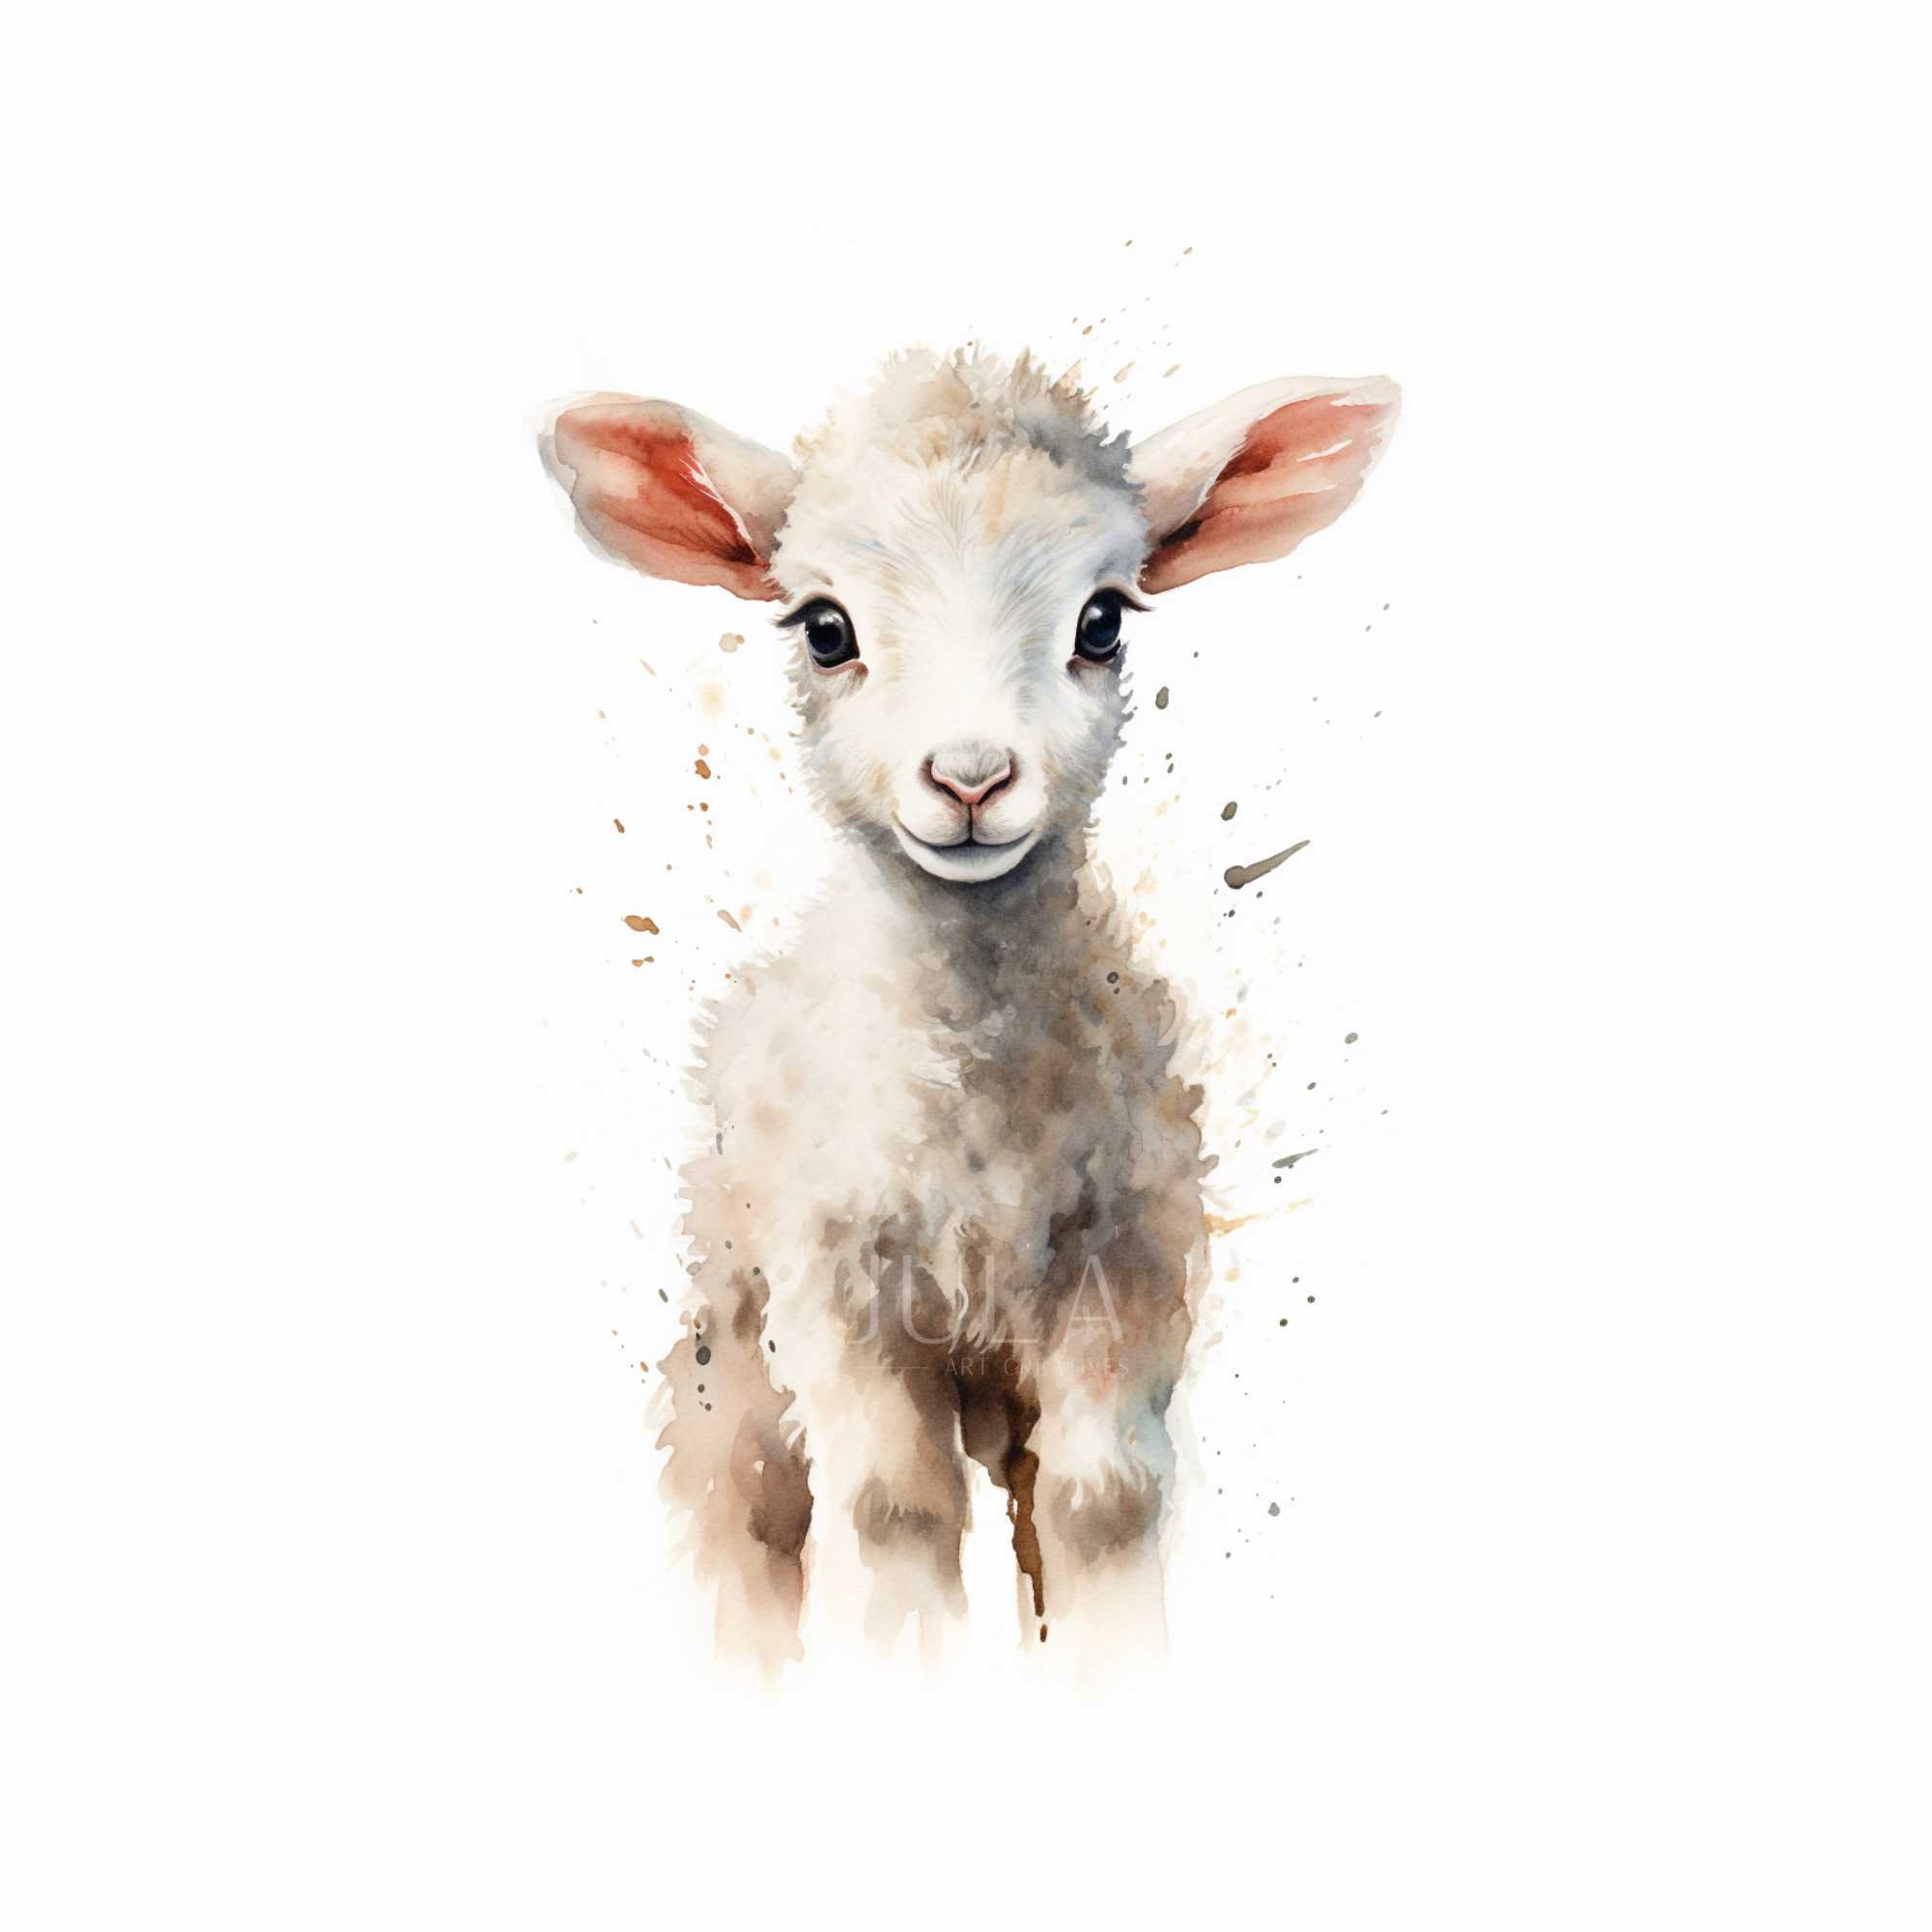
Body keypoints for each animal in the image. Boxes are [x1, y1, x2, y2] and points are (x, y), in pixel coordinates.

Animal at [542, 348, 1398, 1668]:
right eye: (824, 627)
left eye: (1102, 619)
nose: (970, 778)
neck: (976, 1120)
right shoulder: (836, 1280)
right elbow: (892, 1507)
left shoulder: (1125, 1261)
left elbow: (1103, 1500)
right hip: (728, 1324)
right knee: (743, 1494)